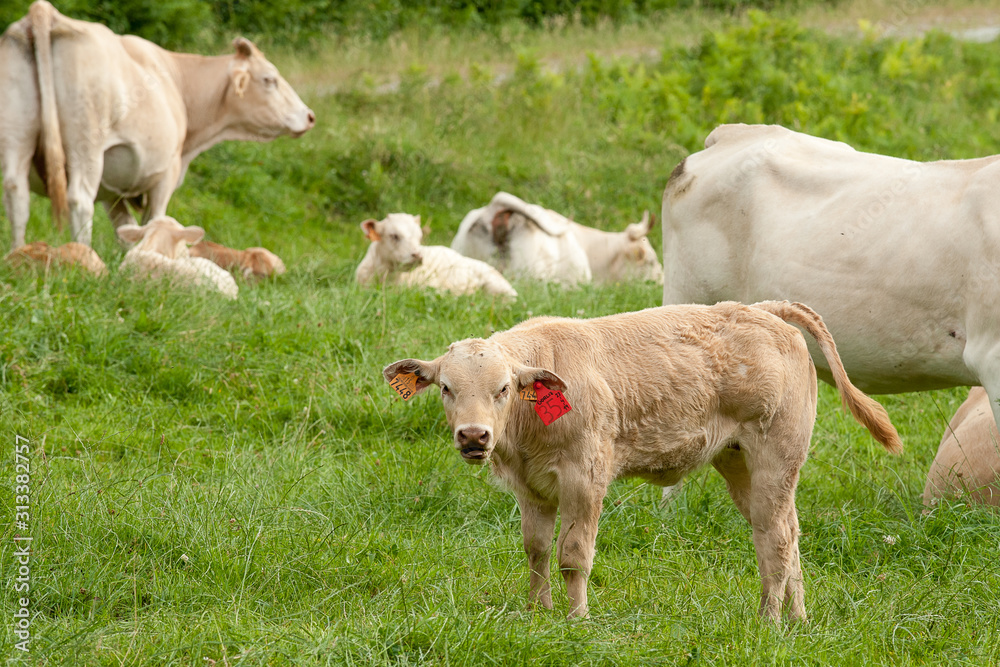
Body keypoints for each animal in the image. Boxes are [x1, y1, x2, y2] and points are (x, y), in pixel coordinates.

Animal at [0, 1, 315, 251]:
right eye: (270, 79)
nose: (309, 115)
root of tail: (46, 11)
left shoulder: (112, 189)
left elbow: (126, 228)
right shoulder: (166, 172)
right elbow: (155, 221)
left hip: (18, 136)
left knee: (17, 193)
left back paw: (17, 254)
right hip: (86, 144)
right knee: (79, 199)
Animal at [383, 301, 902, 621]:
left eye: (503, 387)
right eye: (446, 387)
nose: (474, 436)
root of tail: (763, 308)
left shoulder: (586, 477)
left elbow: (573, 555)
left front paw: (577, 619)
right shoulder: (530, 488)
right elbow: (536, 550)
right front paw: (537, 612)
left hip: (777, 455)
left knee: (774, 539)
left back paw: (769, 621)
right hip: (742, 464)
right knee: (785, 532)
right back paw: (797, 618)